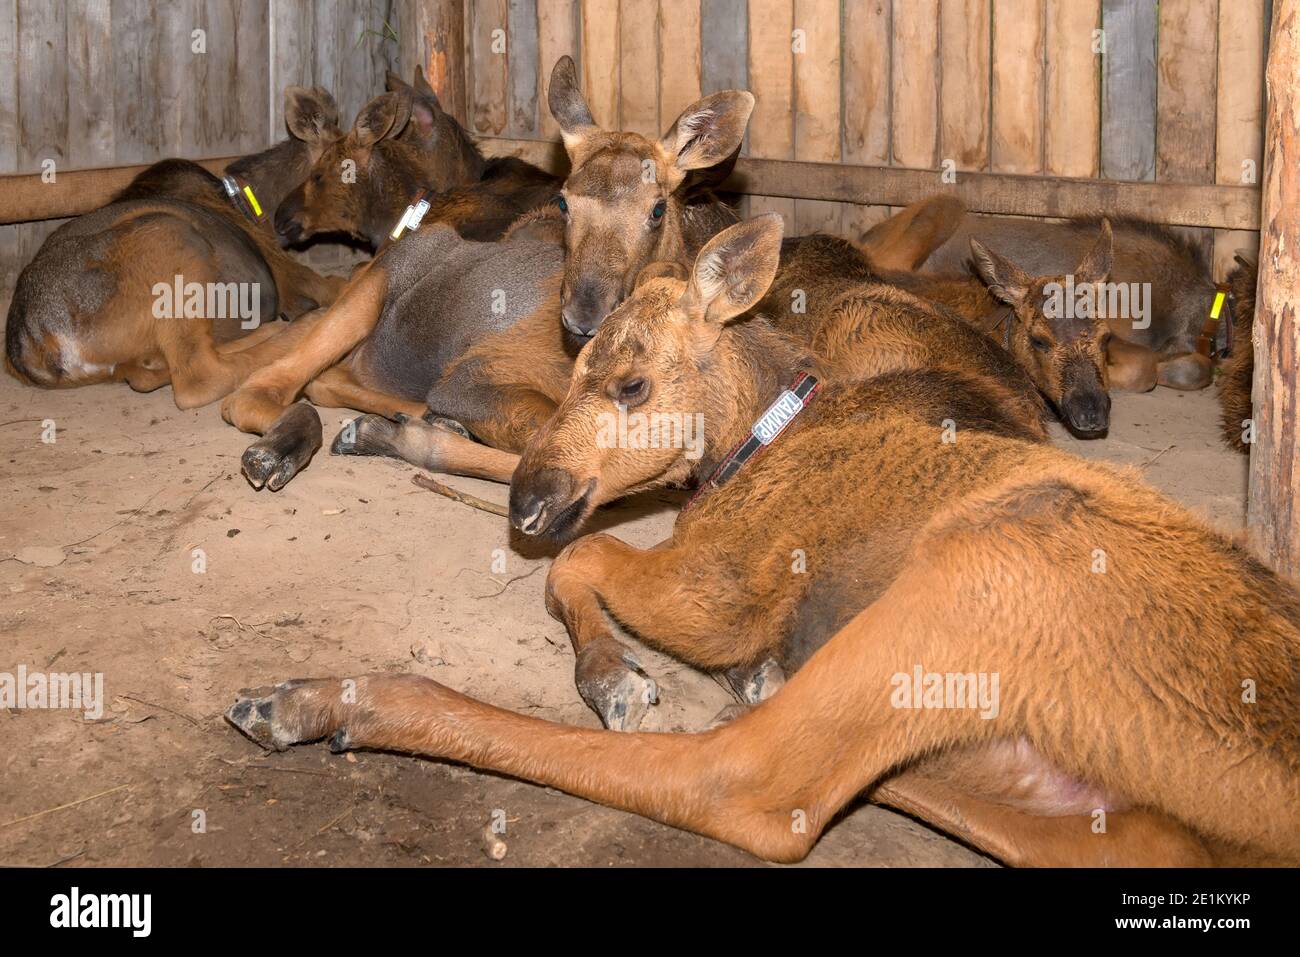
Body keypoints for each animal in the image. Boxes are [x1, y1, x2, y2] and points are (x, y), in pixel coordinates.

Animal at [4, 87, 346, 410]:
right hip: (170, 236)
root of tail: (34, 351)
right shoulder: (289, 275)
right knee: (199, 379)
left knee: (146, 371)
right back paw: (294, 328)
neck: (253, 205)